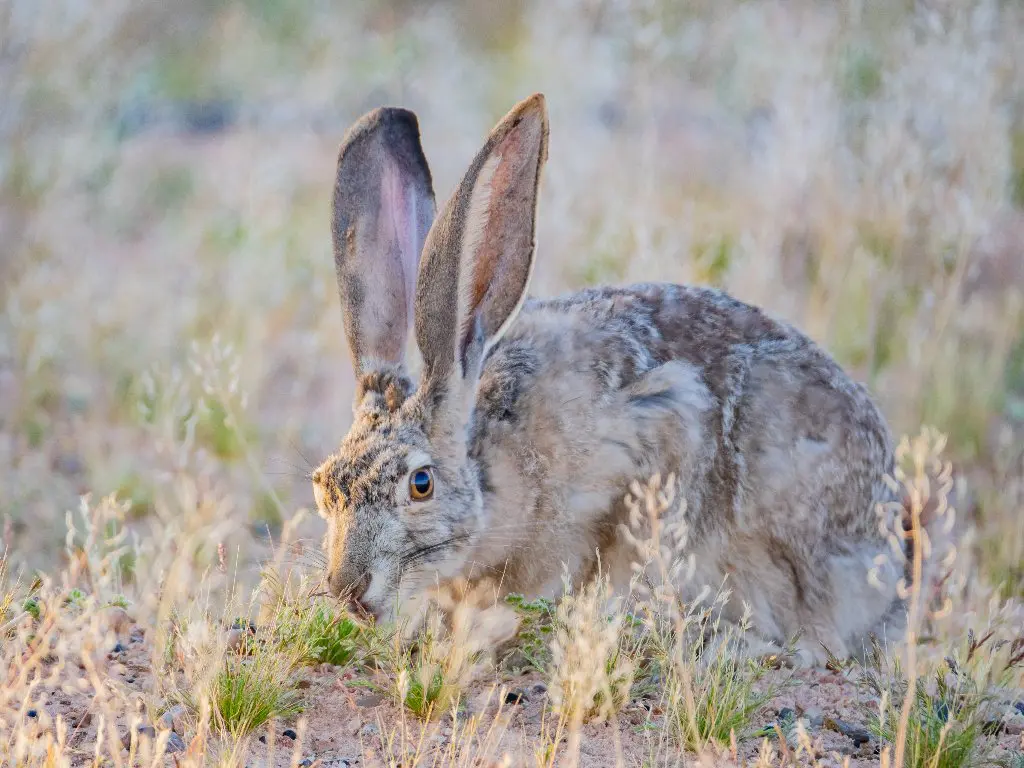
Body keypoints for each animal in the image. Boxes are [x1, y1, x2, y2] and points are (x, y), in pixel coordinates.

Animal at [311, 93, 915, 665]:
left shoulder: (658, 430)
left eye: (421, 484)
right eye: (323, 486)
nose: (348, 590)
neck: (493, 465)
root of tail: (888, 562)